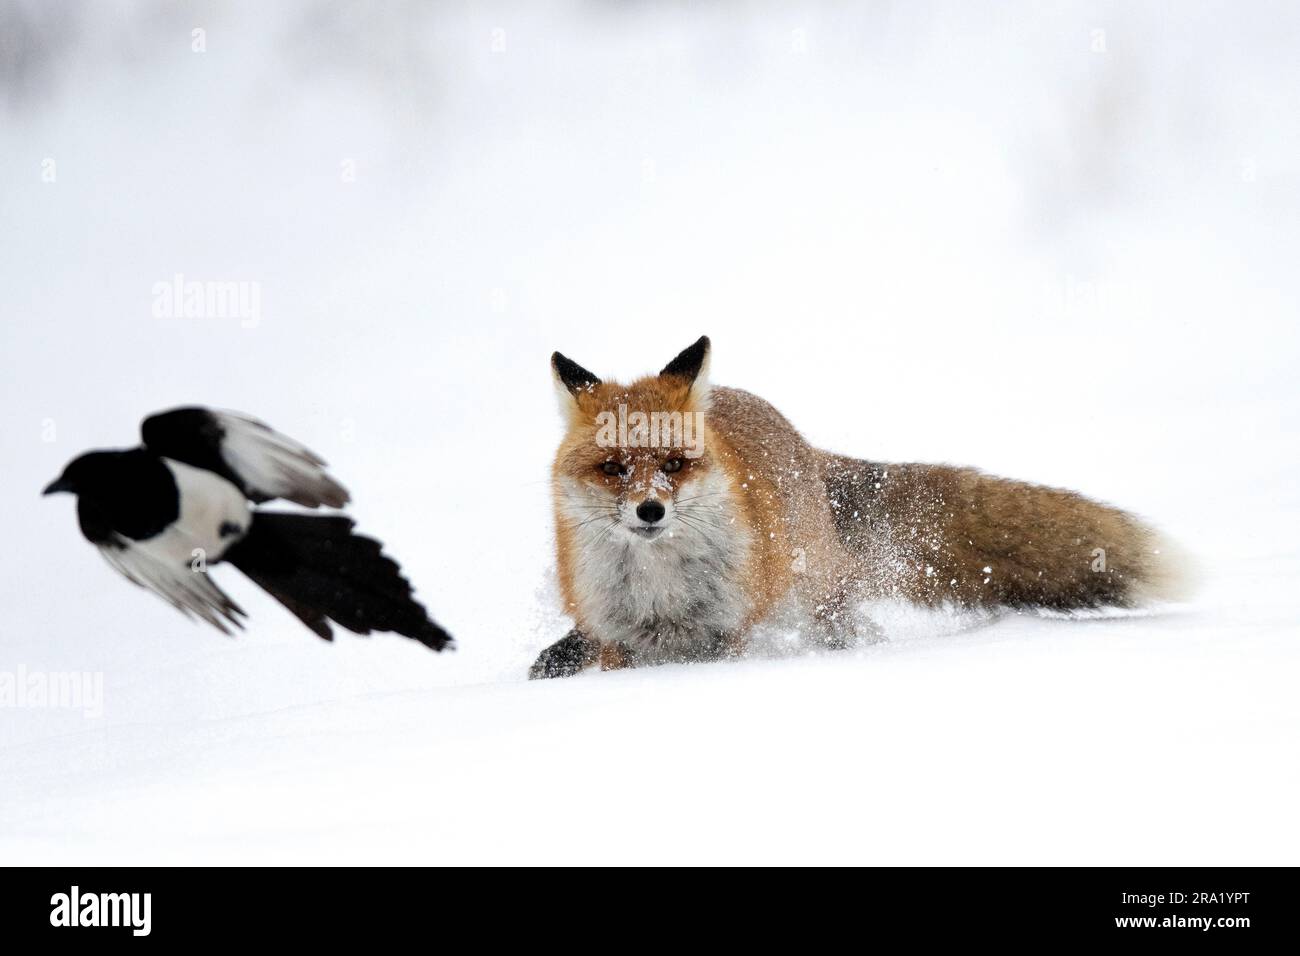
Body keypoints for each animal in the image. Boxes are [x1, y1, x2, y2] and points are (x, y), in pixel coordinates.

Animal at [529, 335, 1190, 679]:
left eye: (673, 465)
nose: (650, 512)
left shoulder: (728, 635)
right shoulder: (619, 643)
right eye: (613, 469)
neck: (661, 591)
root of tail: (800, 441)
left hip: (820, 600)